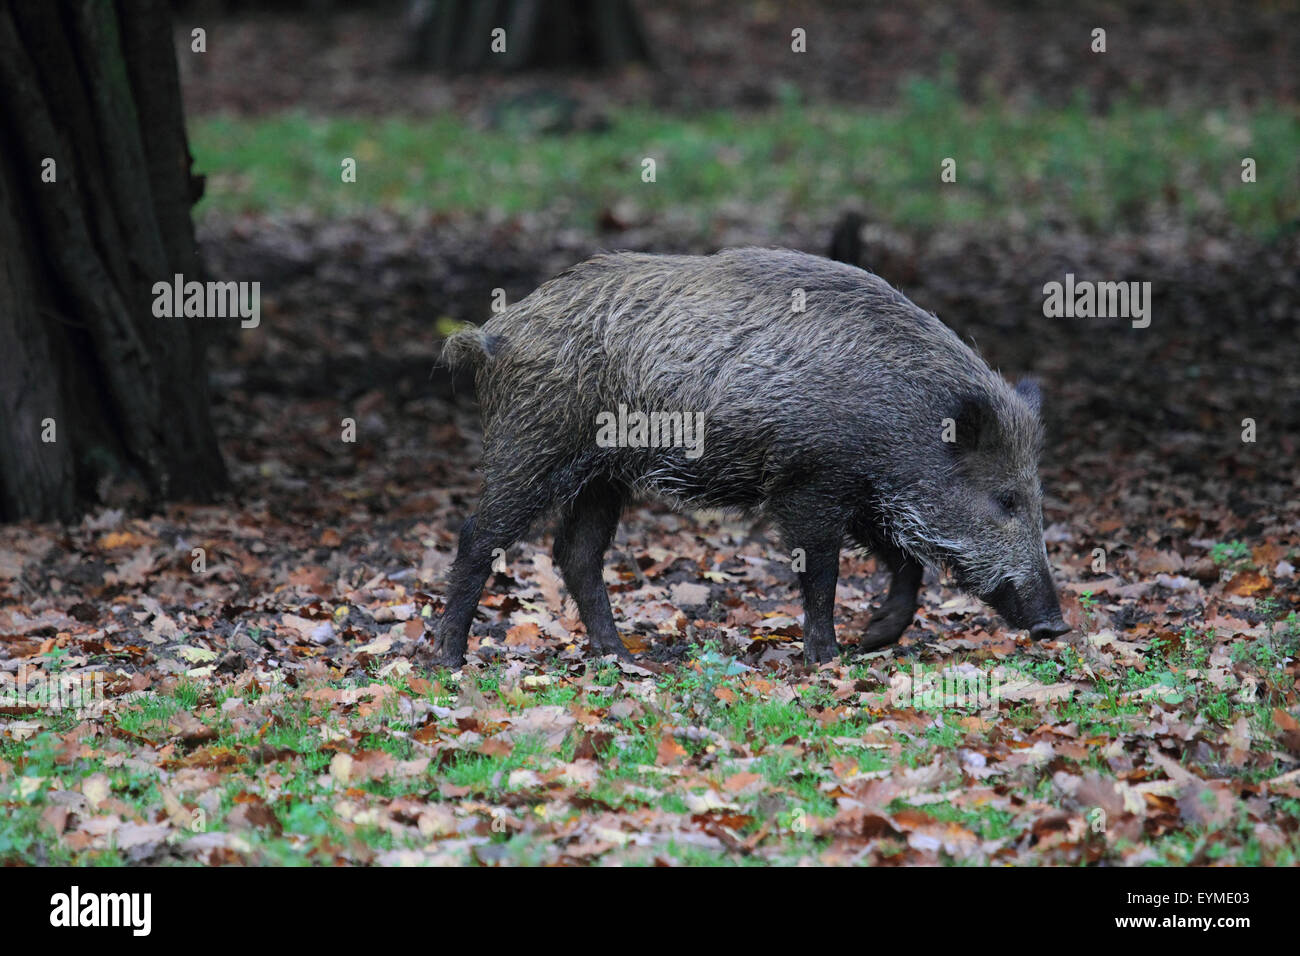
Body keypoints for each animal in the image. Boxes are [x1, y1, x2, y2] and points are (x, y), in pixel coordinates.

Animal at [428, 248, 1068, 668]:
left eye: (1036, 495)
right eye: (1005, 500)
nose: (1056, 625)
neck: (903, 415)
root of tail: (493, 335)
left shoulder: (866, 494)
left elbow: (906, 561)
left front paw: (875, 639)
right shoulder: (810, 485)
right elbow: (824, 575)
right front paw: (827, 658)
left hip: (603, 475)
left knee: (576, 553)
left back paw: (621, 657)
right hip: (532, 445)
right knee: (480, 534)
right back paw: (449, 659)